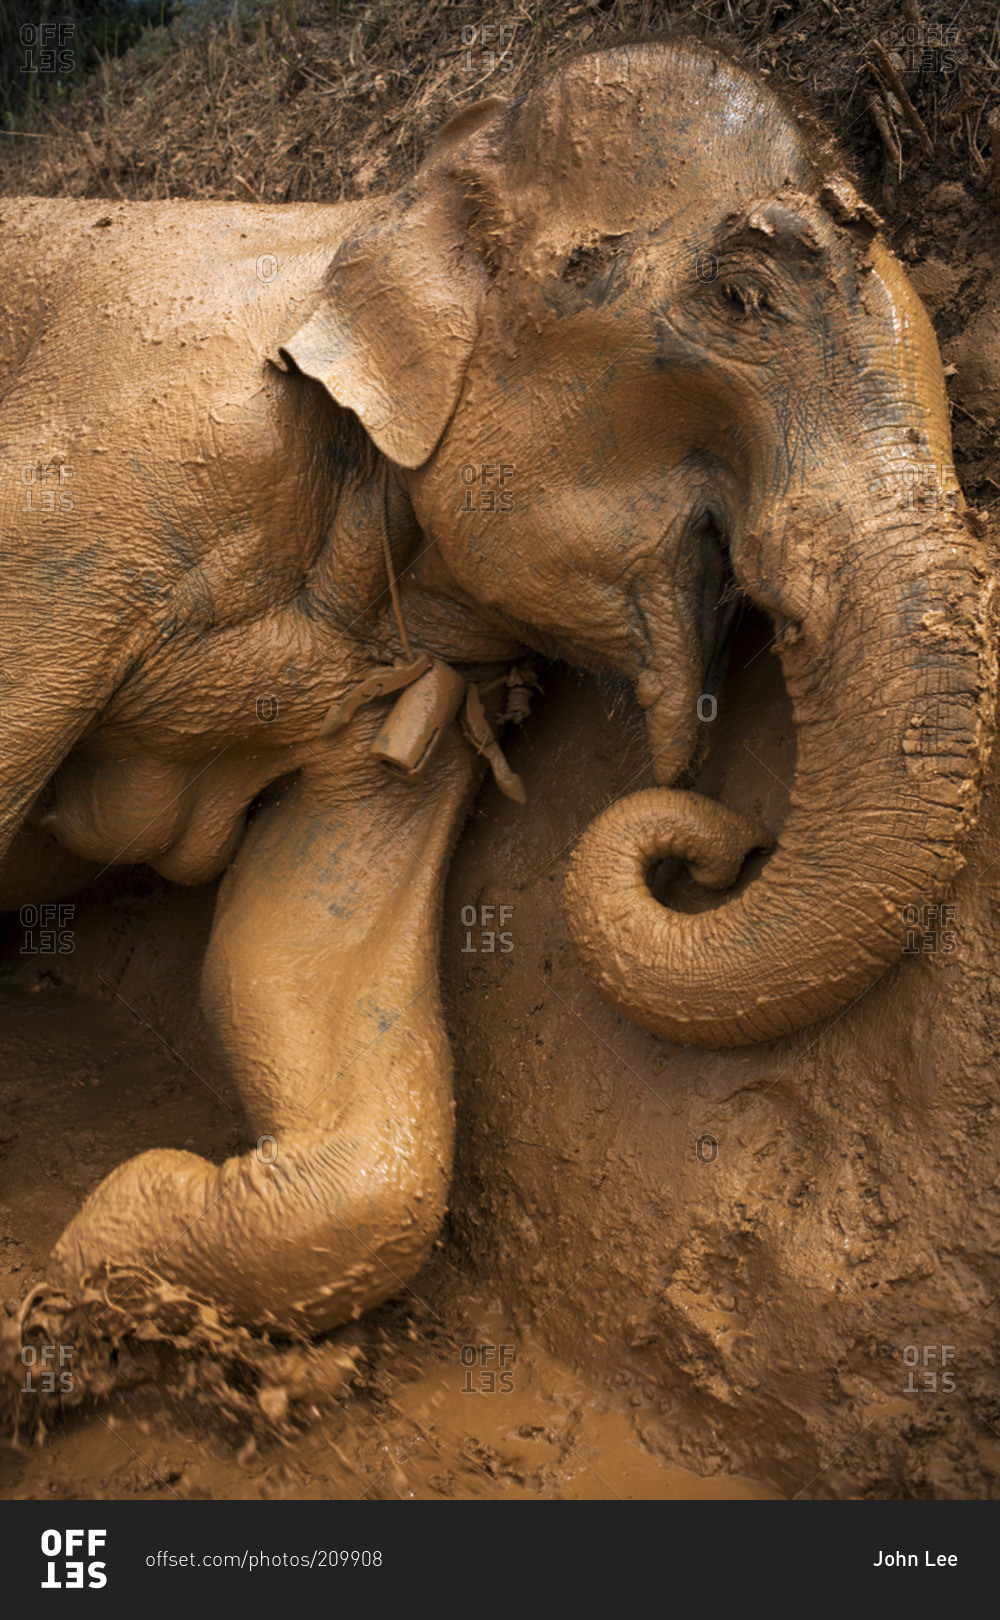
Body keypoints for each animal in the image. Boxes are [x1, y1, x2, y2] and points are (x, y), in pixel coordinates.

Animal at [0, 39, 993, 1339]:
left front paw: (105, 1260)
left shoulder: (429, 681)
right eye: (743, 298)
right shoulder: (90, 493)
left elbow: (308, 963)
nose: (727, 841)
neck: (367, 223)